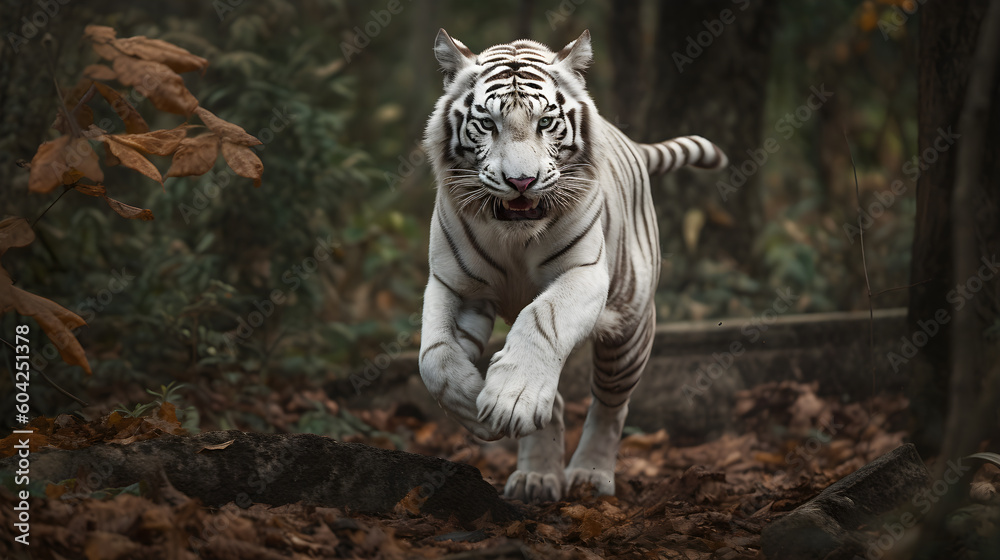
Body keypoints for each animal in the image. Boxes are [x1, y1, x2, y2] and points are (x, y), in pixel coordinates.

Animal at [418, 29, 728, 502]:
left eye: (545, 122)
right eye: (488, 124)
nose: (521, 181)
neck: (514, 234)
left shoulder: (584, 274)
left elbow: (542, 318)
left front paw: (509, 397)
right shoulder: (451, 284)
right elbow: (434, 358)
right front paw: (477, 407)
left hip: (630, 331)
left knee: (611, 406)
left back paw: (588, 475)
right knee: (560, 402)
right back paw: (537, 475)